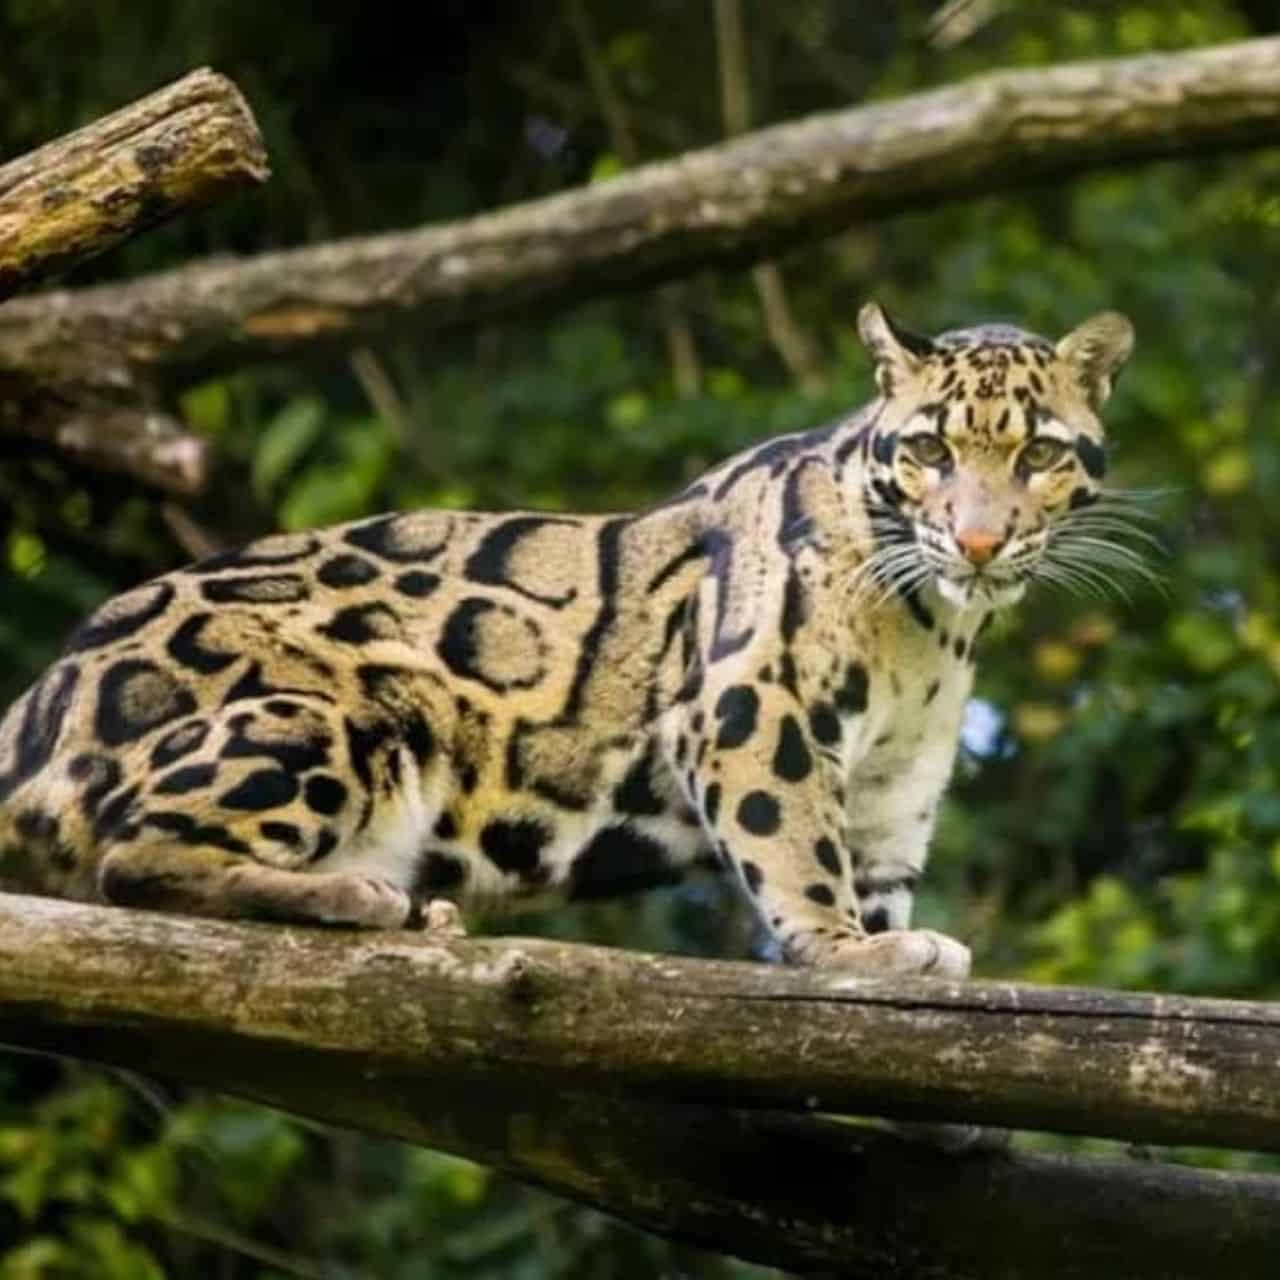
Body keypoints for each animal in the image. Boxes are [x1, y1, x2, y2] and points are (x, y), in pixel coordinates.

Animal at [0, 302, 1135, 981]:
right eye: (930, 450)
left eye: (1037, 454)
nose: (977, 537)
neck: (933, 625)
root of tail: (33, 705)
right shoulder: (746, 705)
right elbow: (796, 848)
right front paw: (847, 951)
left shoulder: (897, 785)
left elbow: (871, 870)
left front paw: (886, 936)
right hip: (334, 713)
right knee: (135, 857)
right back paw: (357, 896)